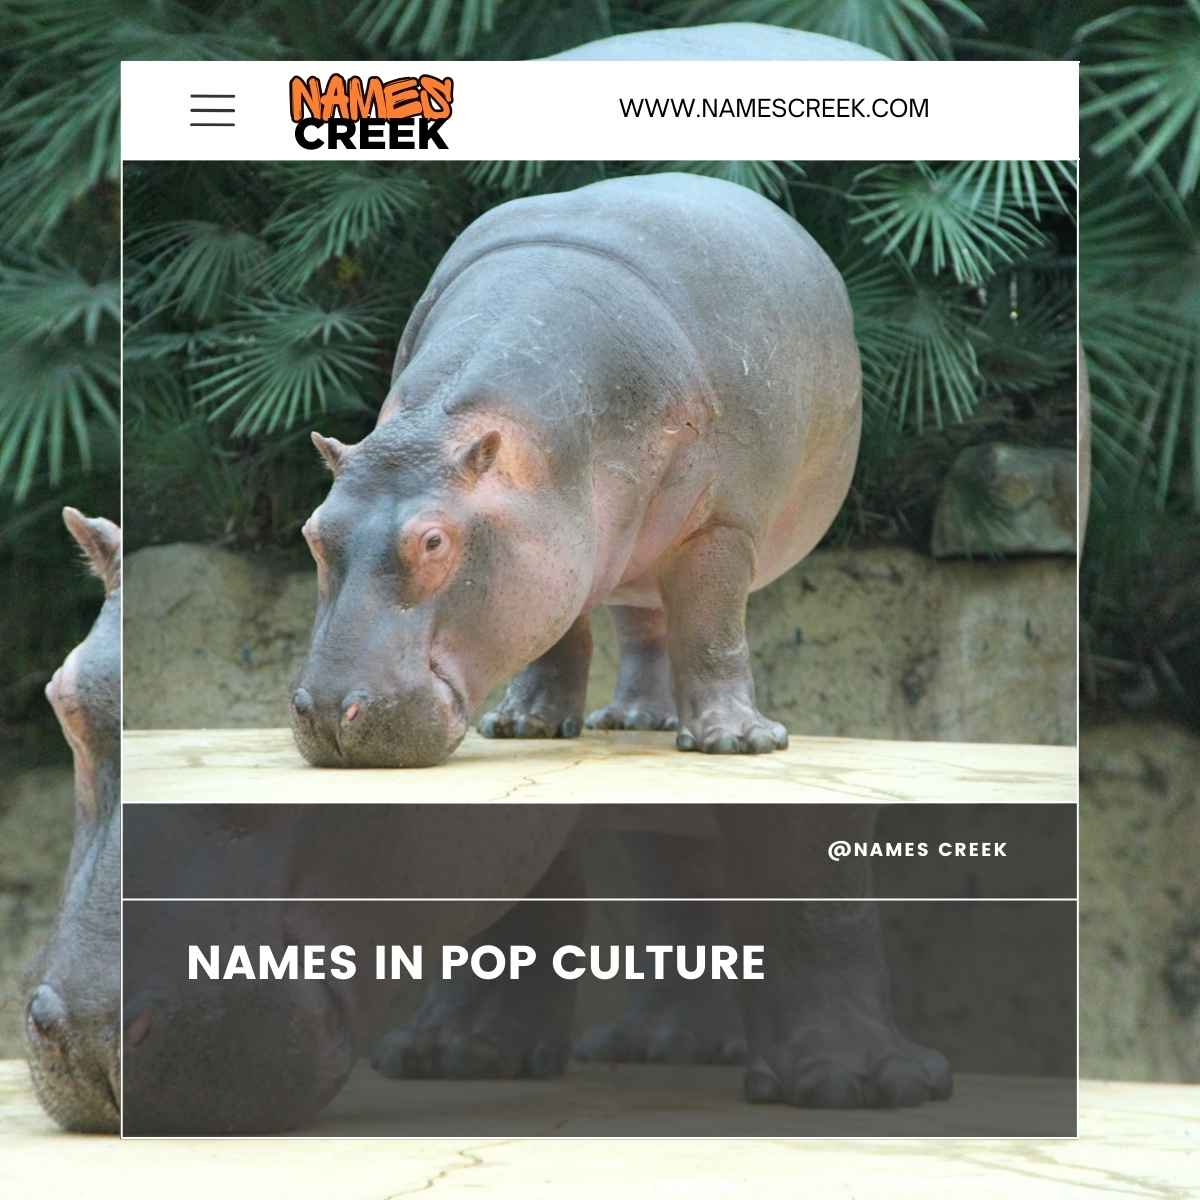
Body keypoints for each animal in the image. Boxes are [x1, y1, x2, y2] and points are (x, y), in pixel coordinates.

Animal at [292, 172, 863, 767]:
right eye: (313, 533)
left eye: (433, 541)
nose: (330, 712)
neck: (437, 426)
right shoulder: (555, 540)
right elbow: (562, 635)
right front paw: (525, 726)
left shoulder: (720, 523)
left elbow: (711, 629)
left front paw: (739, 742)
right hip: (633, 550)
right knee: (642, 623)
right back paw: (630, 719)